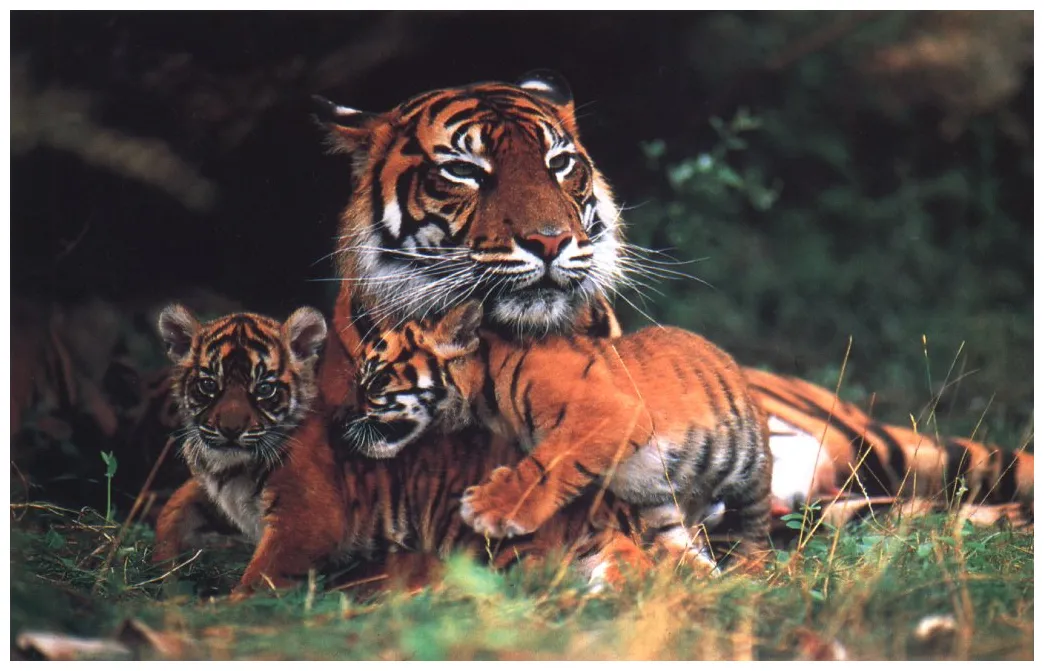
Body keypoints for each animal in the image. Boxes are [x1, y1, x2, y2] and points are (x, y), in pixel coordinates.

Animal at [343, 301, 774, 570]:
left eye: (375, 380)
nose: (342, 420)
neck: (483, 396)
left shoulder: (607, 413)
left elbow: (546, 465)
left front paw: (489, 509)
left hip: (746, 473)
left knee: (754, 529)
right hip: (659, 504)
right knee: (685, 552)